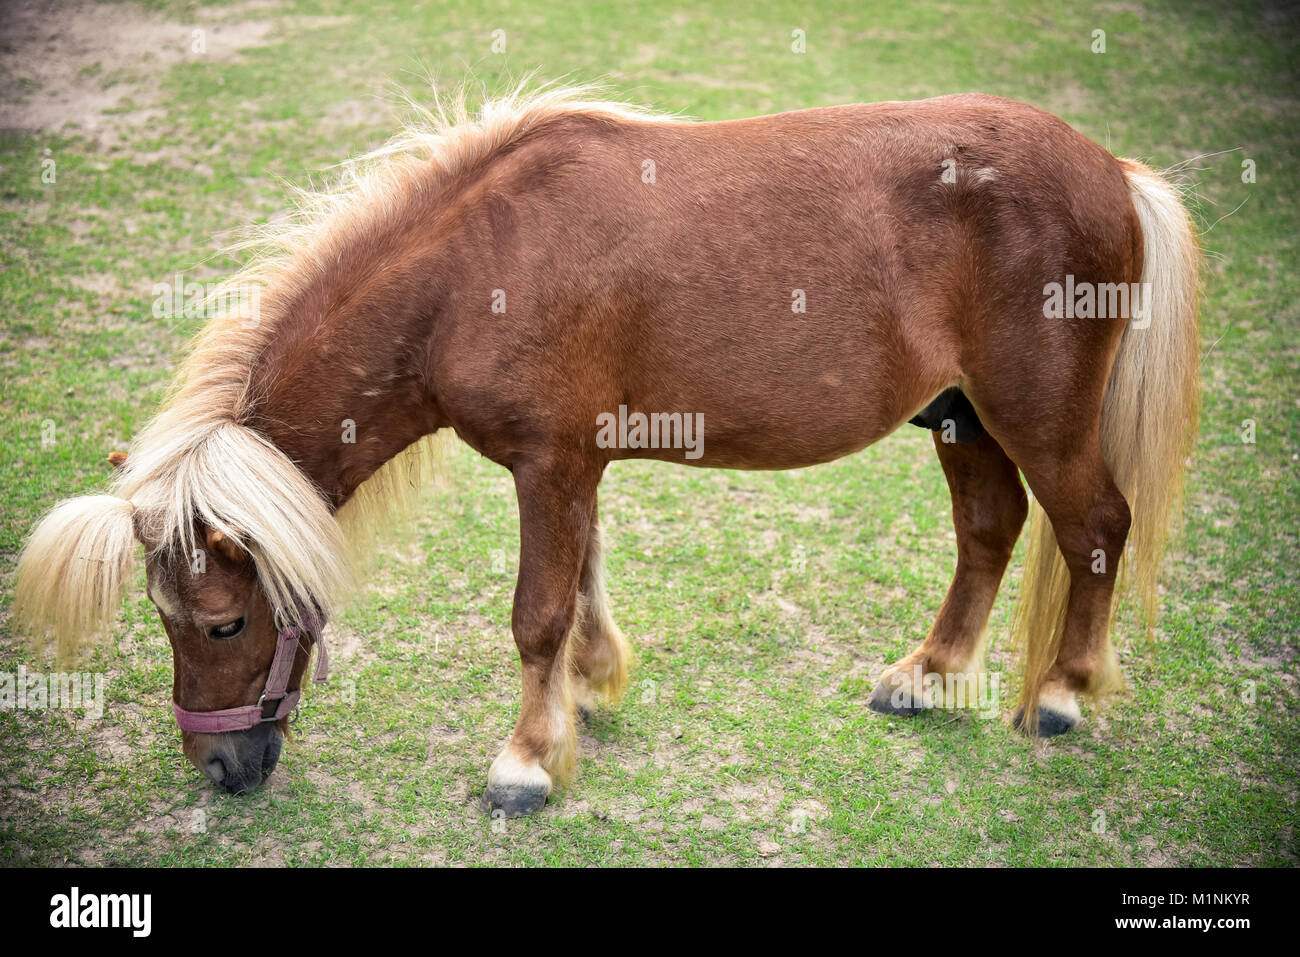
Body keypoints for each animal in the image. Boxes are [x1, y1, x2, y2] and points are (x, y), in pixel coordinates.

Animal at [12, 83, 1200, 817]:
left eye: (221, 621)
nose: (219, 766)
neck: (476, 269)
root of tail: (1111, 168)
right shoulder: (575, 467)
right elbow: (579, 583)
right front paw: (587, 690)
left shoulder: (549, 464)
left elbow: (536, 610)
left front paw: (527, 763)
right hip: (959, 414)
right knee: (991, 528)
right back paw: (930, 674)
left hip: (1035, 415)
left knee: (1094, 525)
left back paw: (1063, 693)